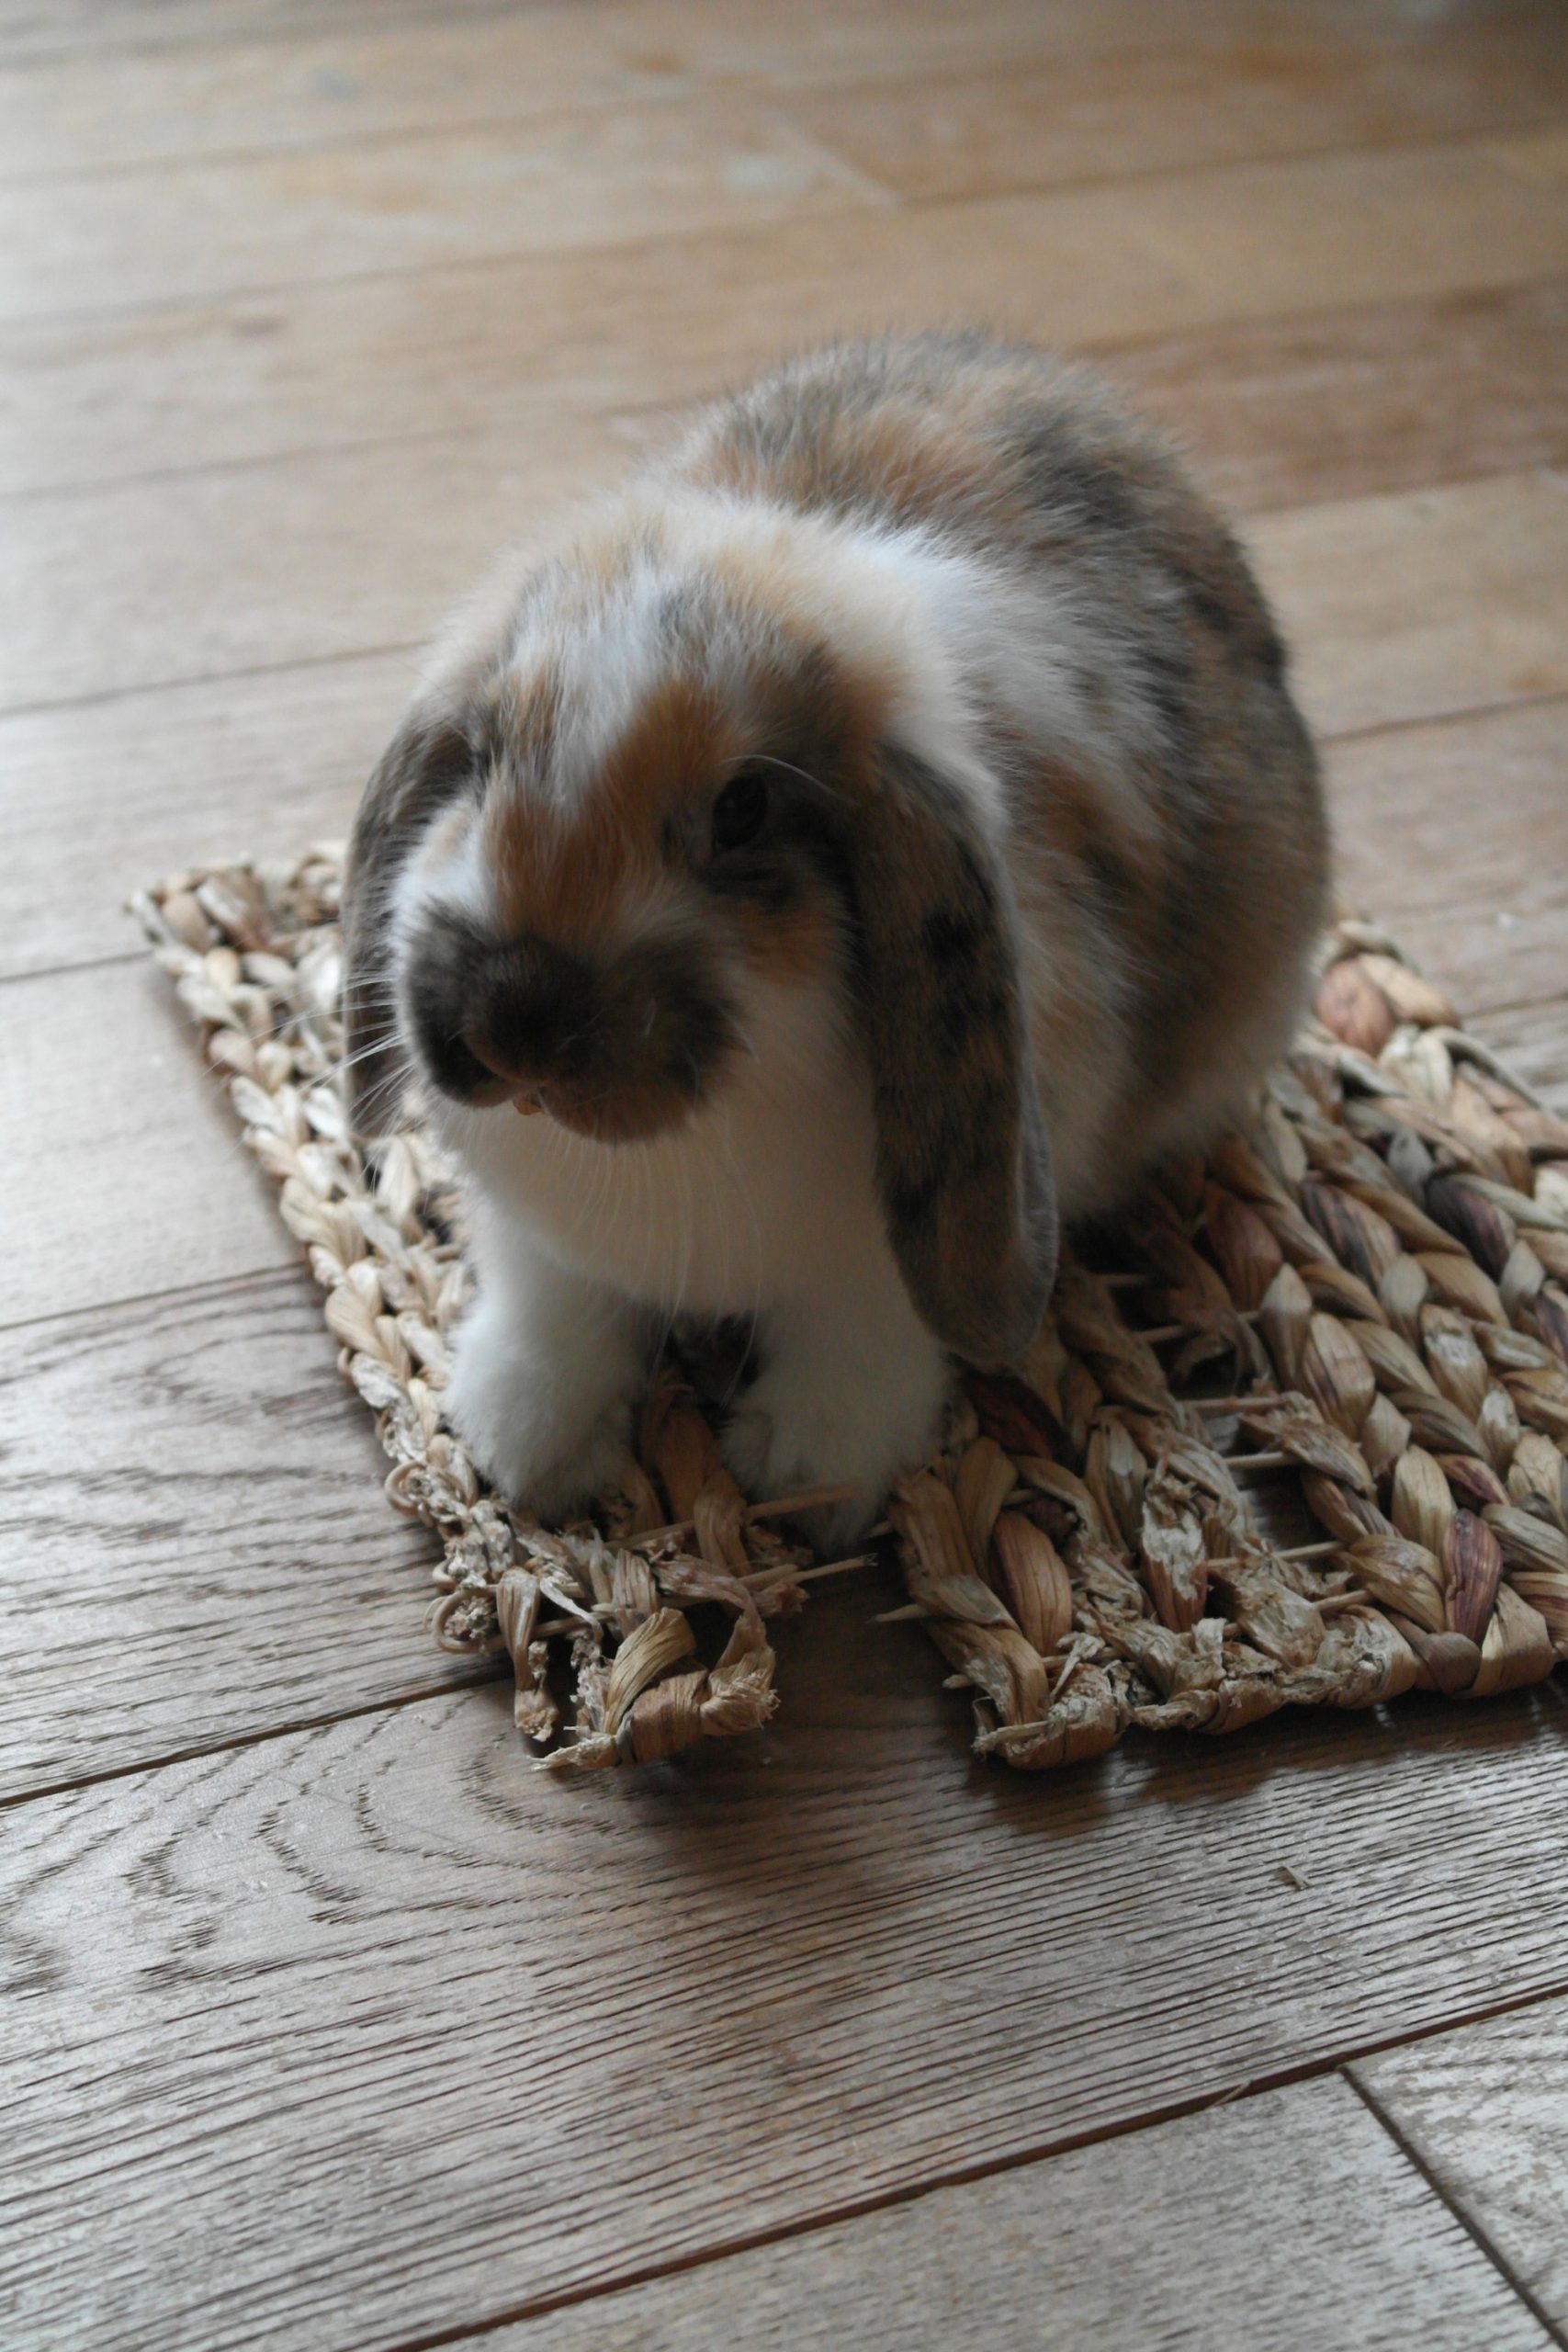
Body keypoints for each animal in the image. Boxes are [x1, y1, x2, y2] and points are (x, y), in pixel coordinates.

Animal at [342, 331, 1329, 1548]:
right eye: (479, 761)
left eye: (743, 810)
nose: (515, 1025)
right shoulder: (549, 1250)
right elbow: (560, 1311)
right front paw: (526, 1444)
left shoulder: (877, 1267)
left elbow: (861, 1346)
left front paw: (805, 1477)